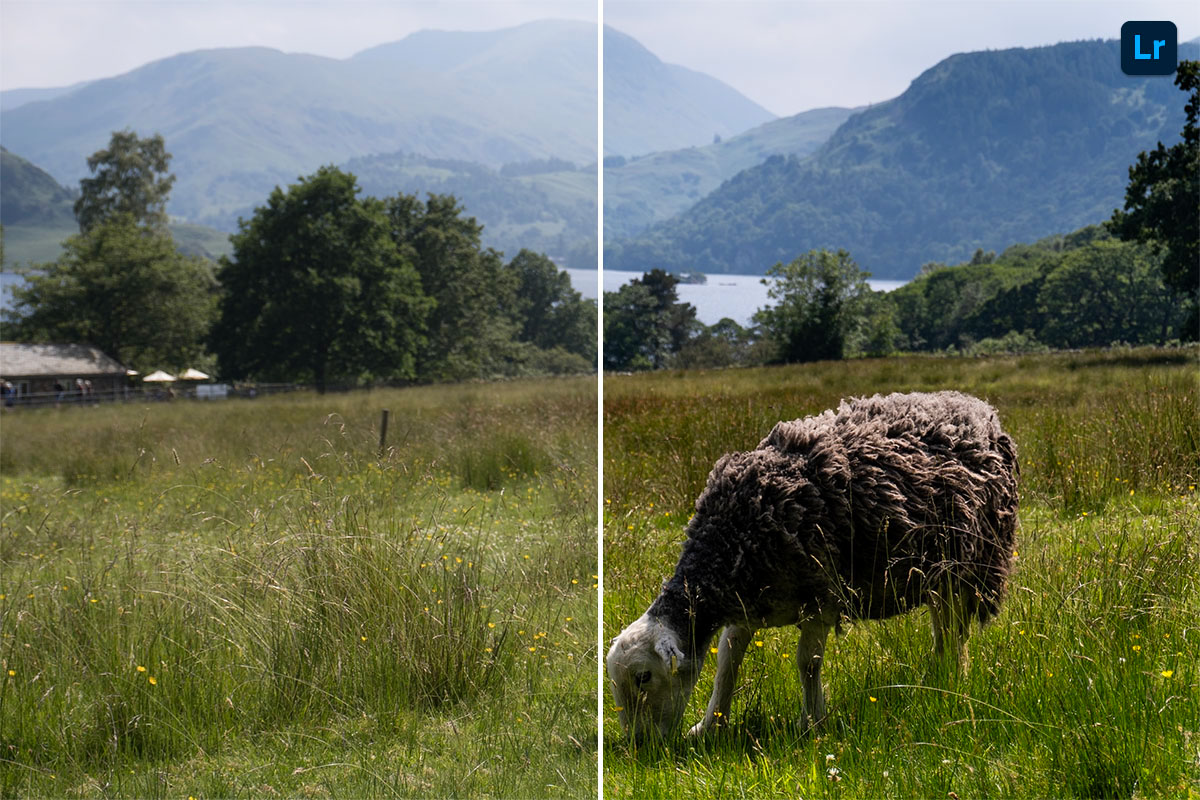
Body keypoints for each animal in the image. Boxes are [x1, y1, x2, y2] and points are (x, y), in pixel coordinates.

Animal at [607, 390, 1018, 742]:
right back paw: (937, 677)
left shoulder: (822, 598)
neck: (731, 539)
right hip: (937, 572)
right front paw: (710, 726)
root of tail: (973, 404)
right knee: (943, 628)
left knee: (954, 630)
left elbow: (807, 662)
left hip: (971, 564)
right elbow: (727, 663)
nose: (639, 744)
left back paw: (950, 682)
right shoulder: (748, 603)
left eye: (643, 677)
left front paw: (812, 723)